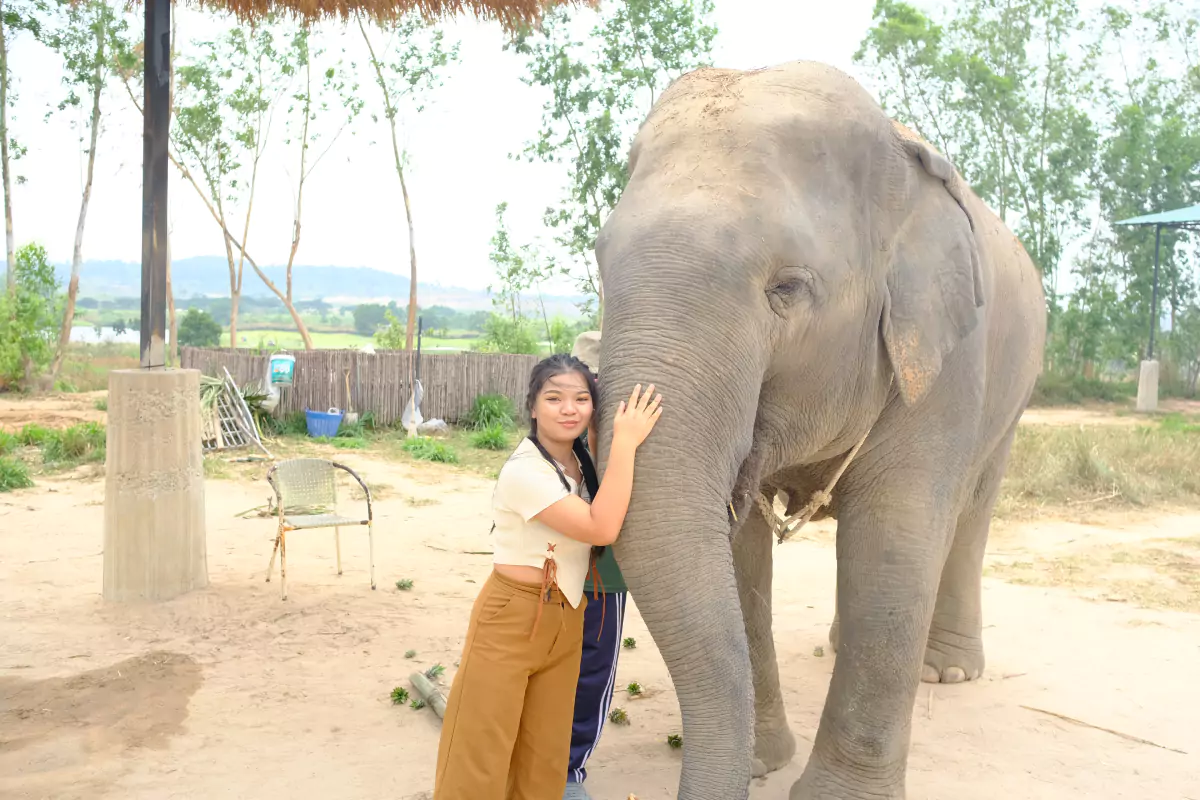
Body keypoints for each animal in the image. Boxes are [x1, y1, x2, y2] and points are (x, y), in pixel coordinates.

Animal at [588, 61, 1046, 800]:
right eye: (601, 262)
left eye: (789, 287)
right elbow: (742, 552)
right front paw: (760, 764)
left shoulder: (948, 360)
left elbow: (893, 545)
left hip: (1015, 391)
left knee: (972, 512)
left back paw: (946, 670)